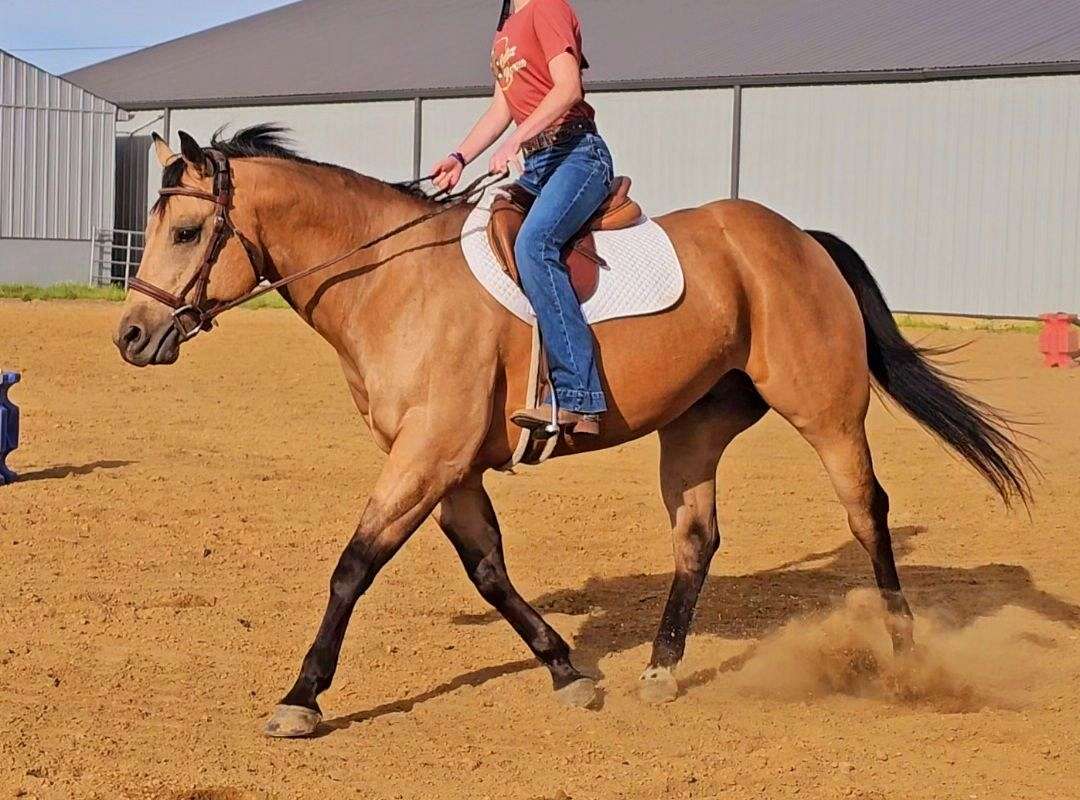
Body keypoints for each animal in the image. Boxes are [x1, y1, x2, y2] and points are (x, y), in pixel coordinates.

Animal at [114, 125, 1031, 738]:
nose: (129, 335)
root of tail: (797, 238)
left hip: (828, 413)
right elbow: (488, 572)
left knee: (867, 513)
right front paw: (566, 670)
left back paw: (905, 657)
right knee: (697, 538)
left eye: (187, 232)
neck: (392, 282)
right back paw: (661, 669)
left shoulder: (428, 455)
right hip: (693, 429)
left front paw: (302, 697)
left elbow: (353, 566)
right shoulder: (452, 468)